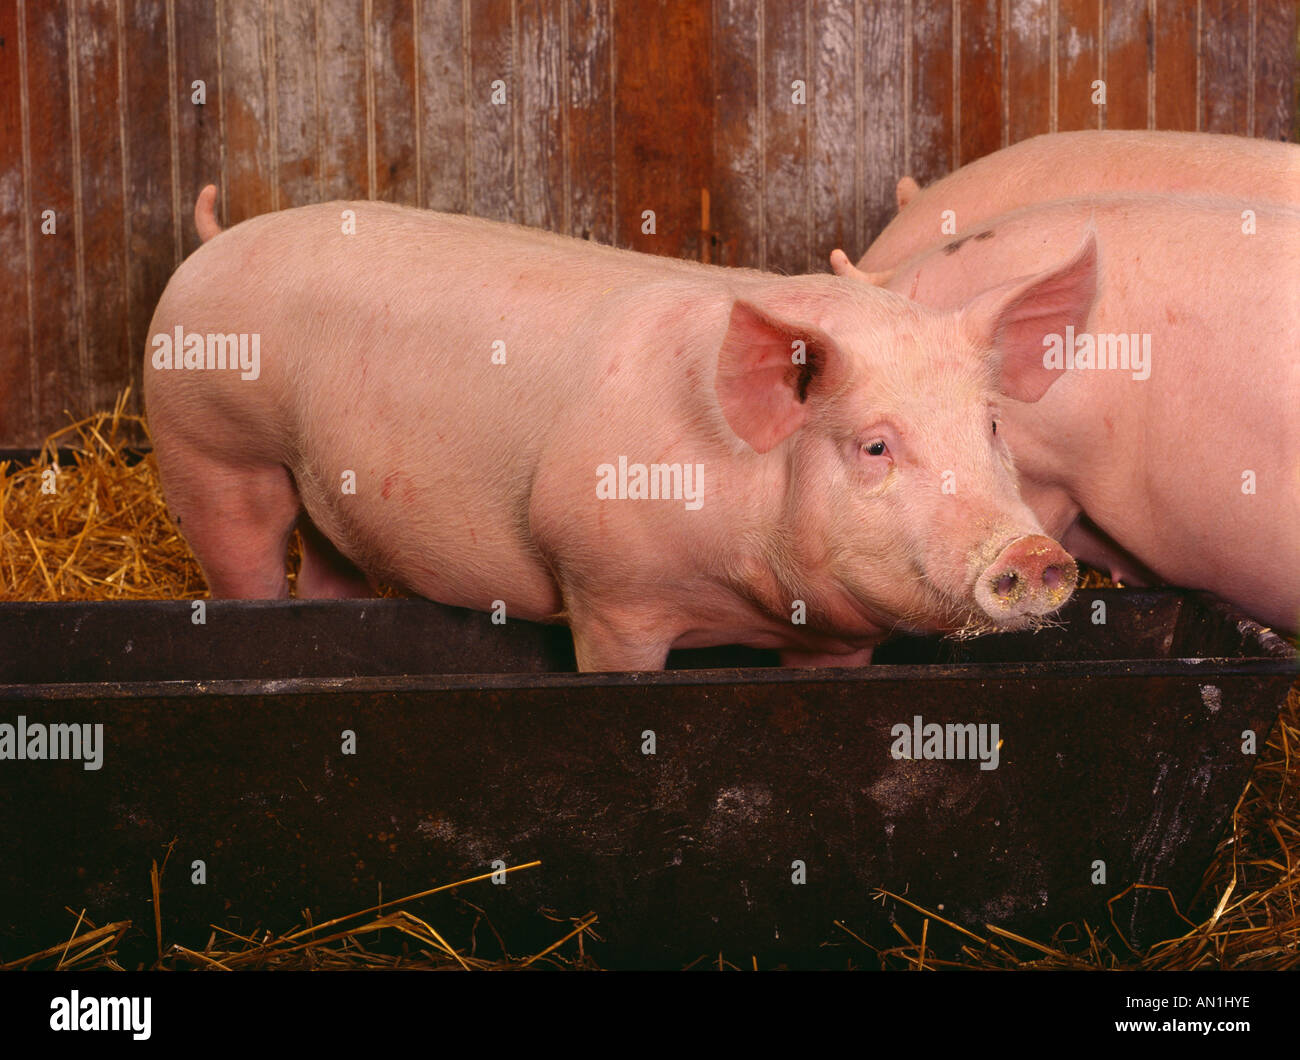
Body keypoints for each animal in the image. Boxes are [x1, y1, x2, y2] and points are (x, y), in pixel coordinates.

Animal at [145, 191, 1089, 672]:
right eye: (876, 446)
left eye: (992, 424)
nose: (1035, 553)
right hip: (209, 447)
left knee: (328, 568)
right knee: (246, 561)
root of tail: (214, 240)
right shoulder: (606, 587)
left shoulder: (835, 643)